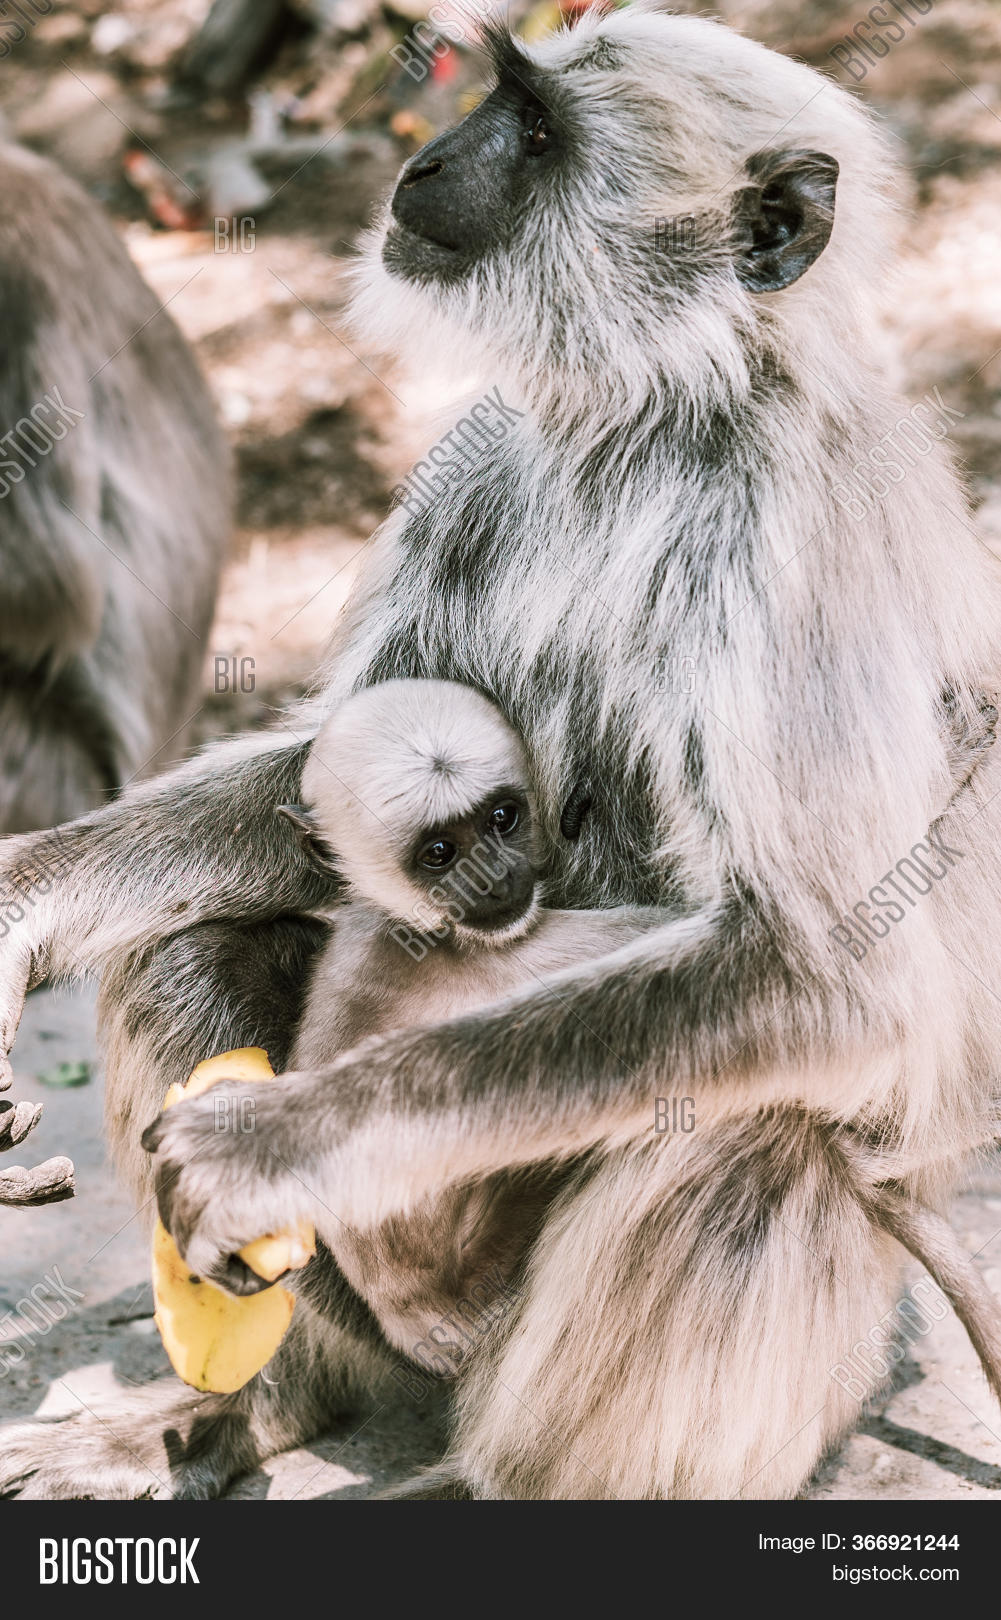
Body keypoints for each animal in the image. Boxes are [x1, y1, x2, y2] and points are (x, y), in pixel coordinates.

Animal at [1, 6, 1001, 1500]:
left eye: (533, 134)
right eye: (500, 104)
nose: (427, 162)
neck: (649, 416)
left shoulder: (791, 527)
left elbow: (835, 981)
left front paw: (278, 1136)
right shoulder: (484, 454)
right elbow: (322, 777)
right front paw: (11, 909)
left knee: (756, 1129)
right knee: (191, 940)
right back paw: (248, 1405)